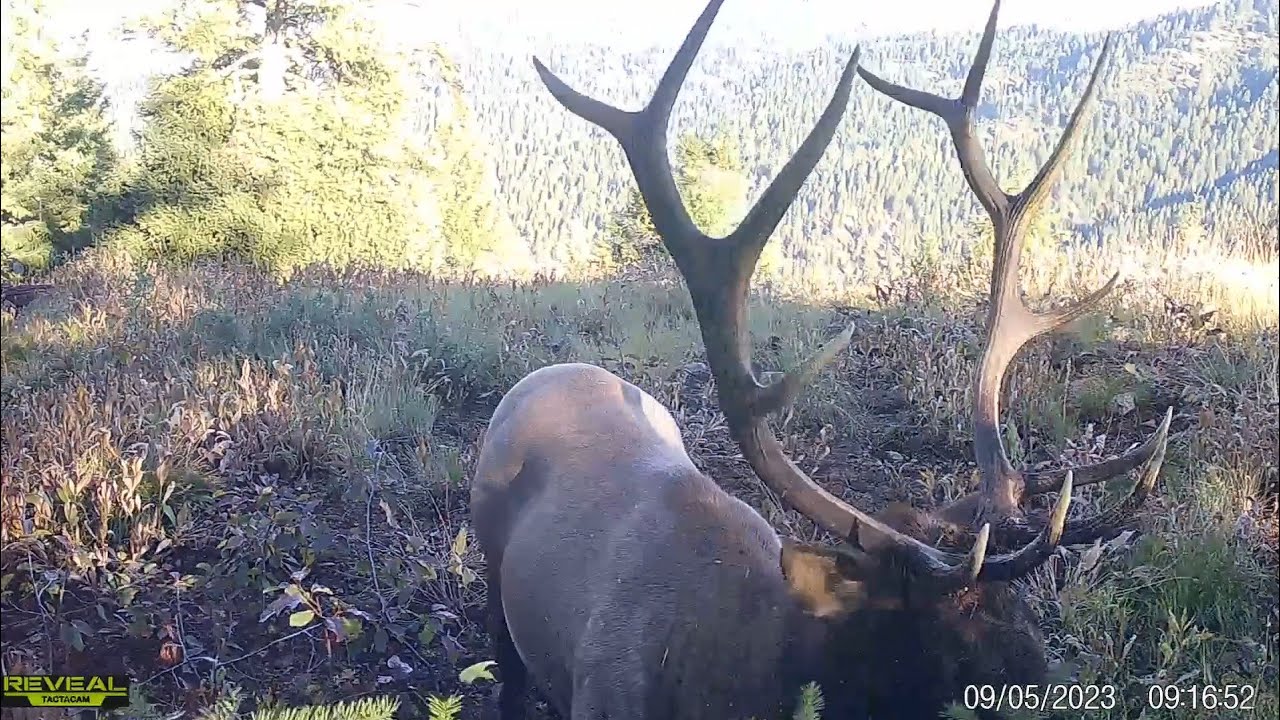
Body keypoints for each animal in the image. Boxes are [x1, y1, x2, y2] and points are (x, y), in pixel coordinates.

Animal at [470, 1, 1173, 718]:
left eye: (1024, 613)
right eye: (956, 628)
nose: (1058, 691)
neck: (739, 682)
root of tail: (551, 372)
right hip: (493, 562)